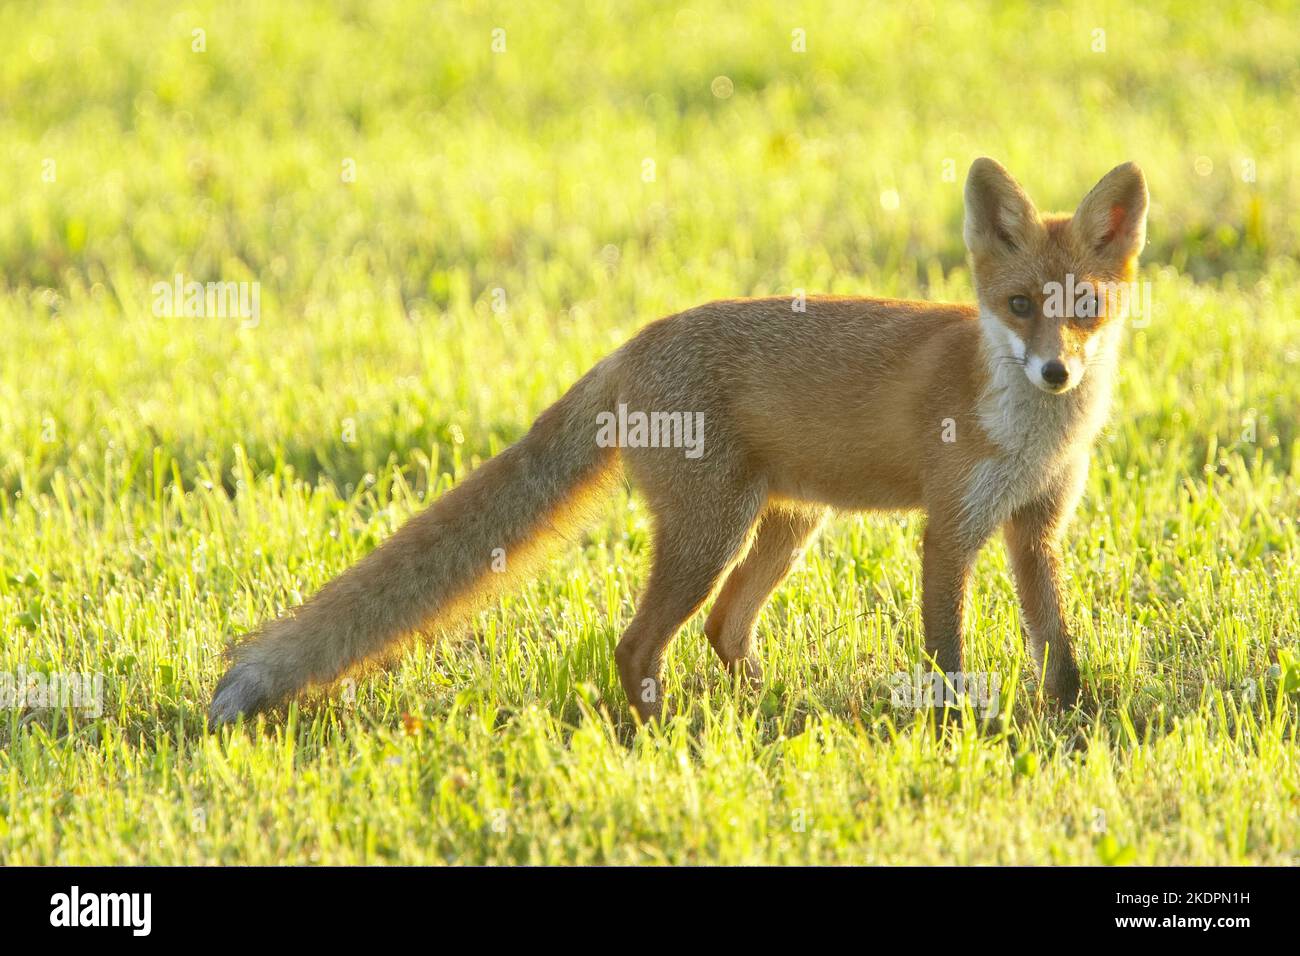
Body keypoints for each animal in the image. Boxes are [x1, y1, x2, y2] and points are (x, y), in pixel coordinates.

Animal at [210, 158, 1149, 726]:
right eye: (1021, 306)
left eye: (1085, 310)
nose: (1056, 373)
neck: (1032, 434)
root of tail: (633, 342)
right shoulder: (950, 530)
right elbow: (947, 655)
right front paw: (957, 727)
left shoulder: (1035, 529)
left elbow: (1058, 650)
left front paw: (1069, 723)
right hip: (713, 535)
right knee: (638, 644)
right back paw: (661, 735)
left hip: (785, 527)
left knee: (724, 629)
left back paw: (759, 710)